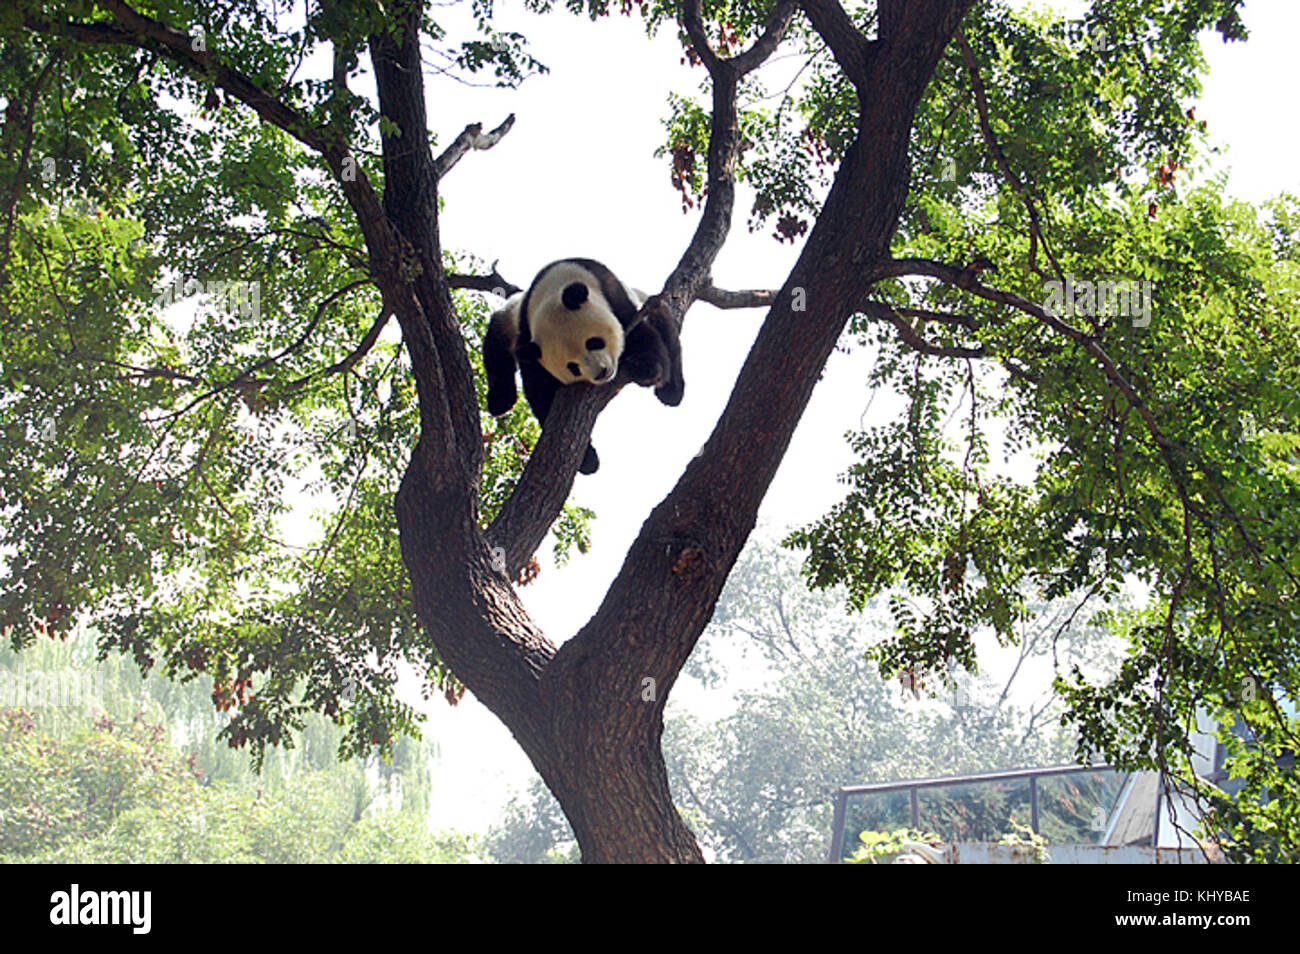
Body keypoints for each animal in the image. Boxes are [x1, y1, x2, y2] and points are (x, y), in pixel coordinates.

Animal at [483, 258, 684, 474]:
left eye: (593, 342)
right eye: (573, 367)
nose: (602, 372)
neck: (552, 288)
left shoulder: (614, 295)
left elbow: (643, 336)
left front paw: (645, 368)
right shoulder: (528, 342)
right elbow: (541, 393)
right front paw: (588, 460)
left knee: (667, 329)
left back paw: (671, 392)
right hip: (507, 322)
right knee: (496, 349)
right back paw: (500, 401)